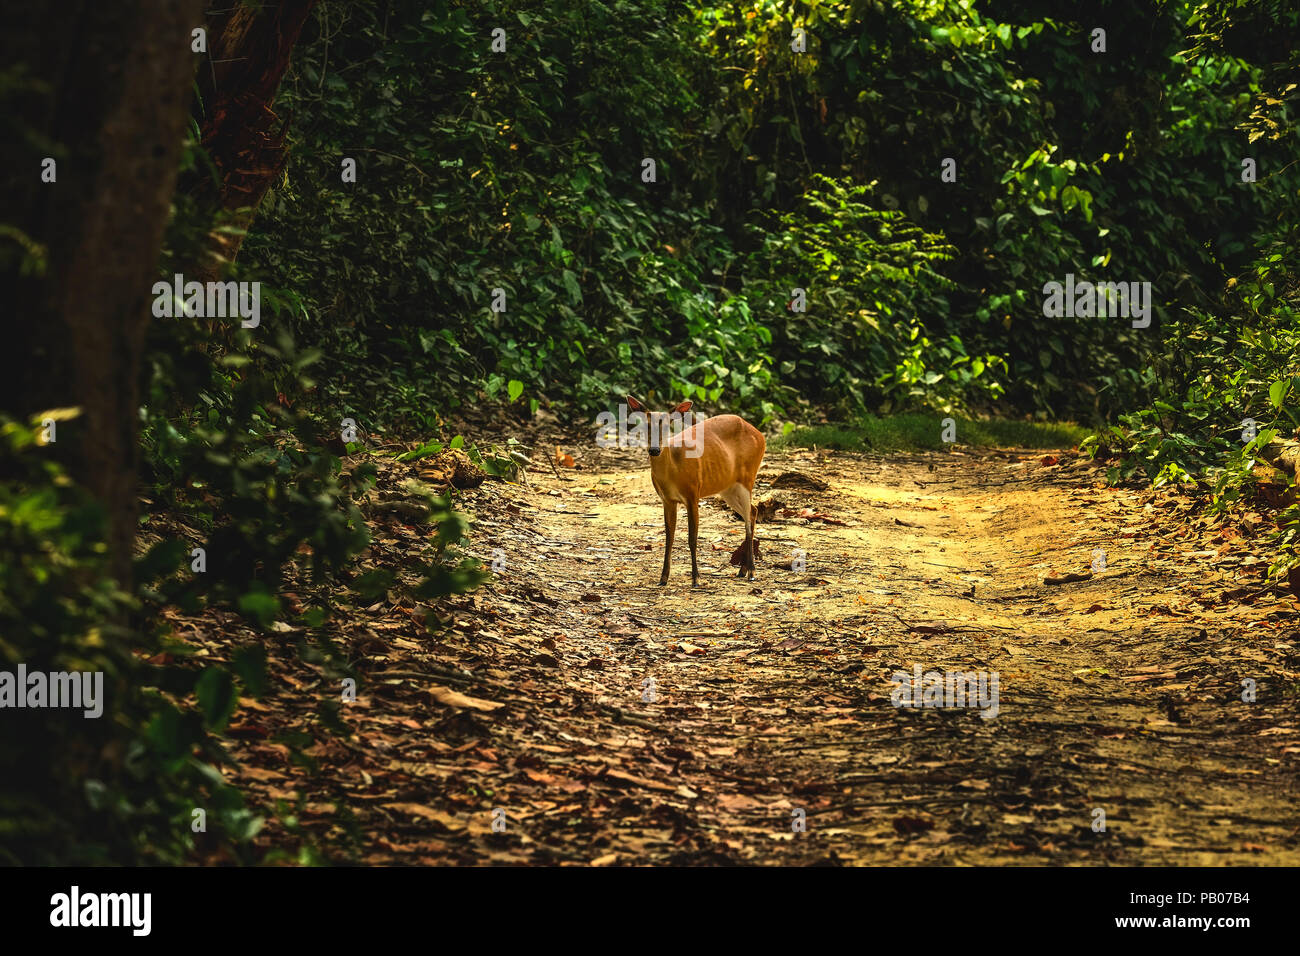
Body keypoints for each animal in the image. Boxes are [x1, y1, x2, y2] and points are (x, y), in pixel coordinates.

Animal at [625, 396, 765, 587]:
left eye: (668, 425)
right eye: (646, 425)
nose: (654, 449)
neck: (674, 470)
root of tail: (760, 435)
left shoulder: (693, 494)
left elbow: (692, 539)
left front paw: (696, 578)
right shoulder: (667, 500)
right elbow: (669, 538)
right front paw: (663, 578)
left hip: (747, 477)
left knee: (749, 517)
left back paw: (751, 571)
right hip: (727, 487)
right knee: (753, 511)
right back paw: (742, 570)